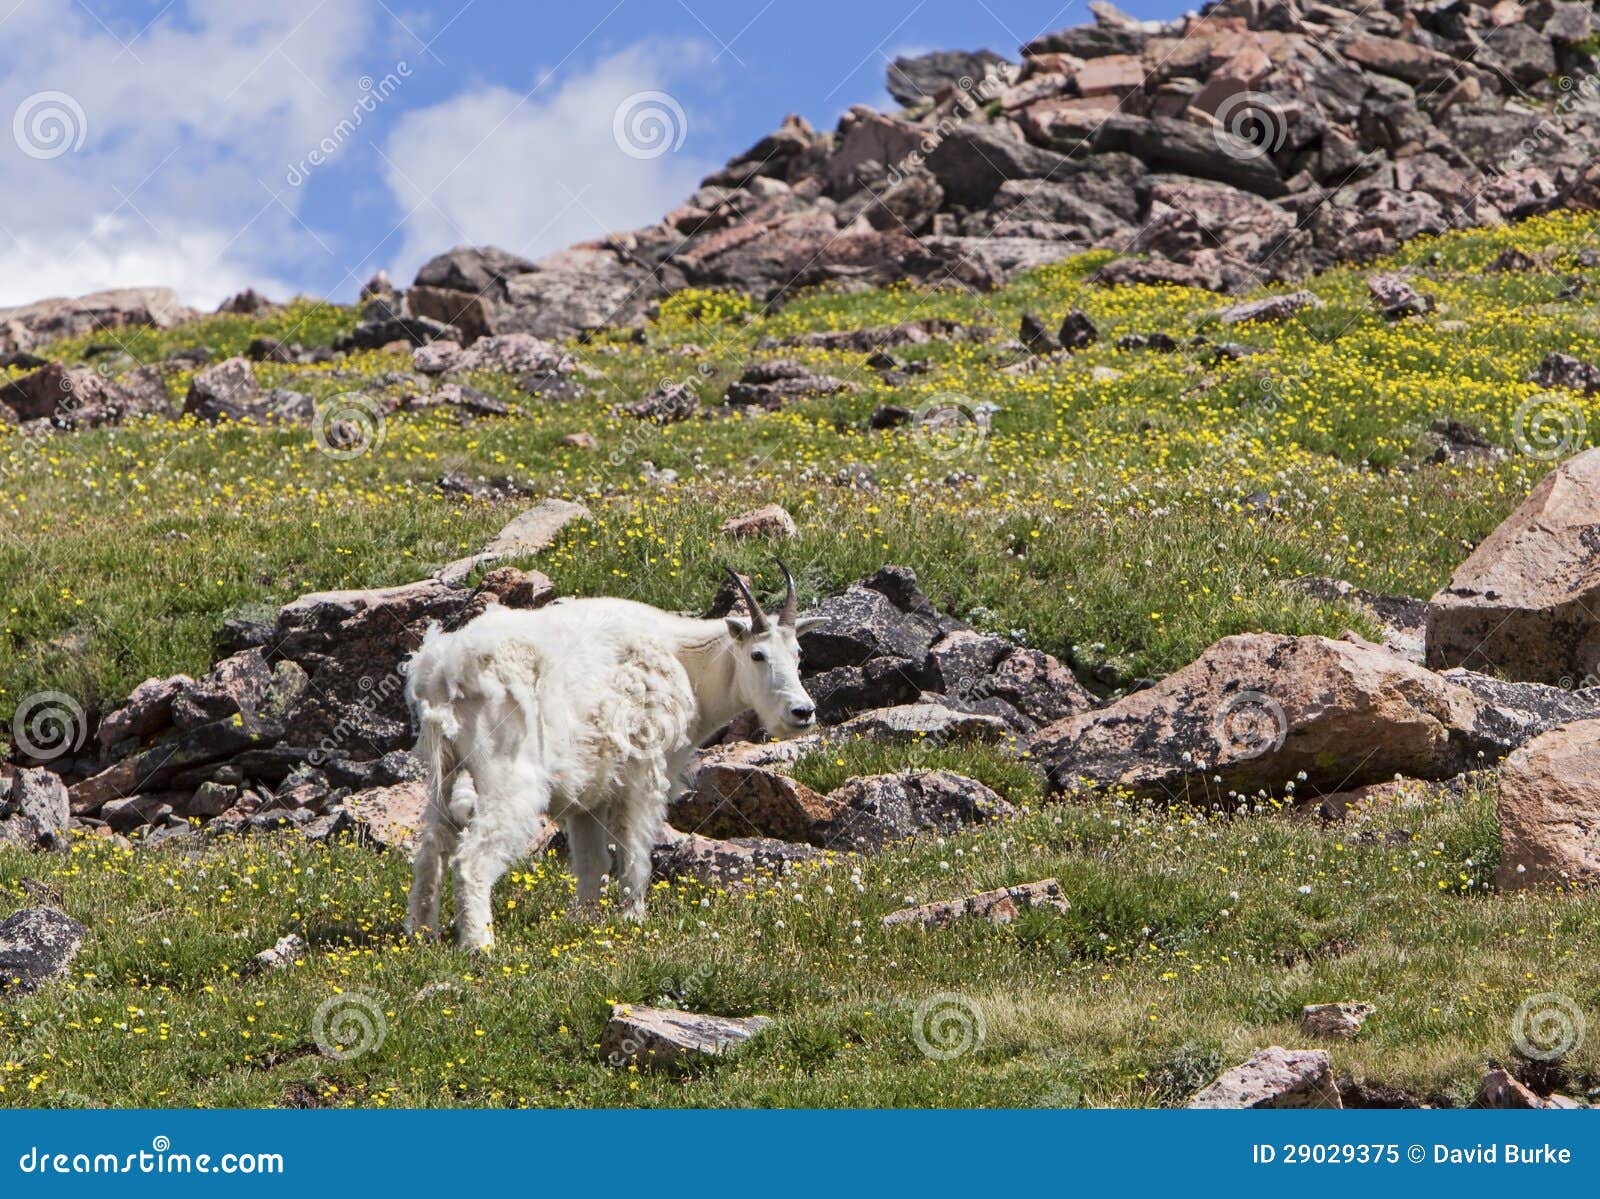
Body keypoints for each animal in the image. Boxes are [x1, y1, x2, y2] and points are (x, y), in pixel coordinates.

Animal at [403, 563, 822, 949]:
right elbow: (634, 850)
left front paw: (584, 922)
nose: (802, 712)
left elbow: (592, 862)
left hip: (445, 772)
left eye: (799, 653)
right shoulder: (643, 774)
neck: (687, 663)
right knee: (471, 859)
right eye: (757, 654)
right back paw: (480, 946)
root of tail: (445, 672)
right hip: (508, 776)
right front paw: (633, 918)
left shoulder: (589, 792)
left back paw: (422, 935)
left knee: (430, 851)